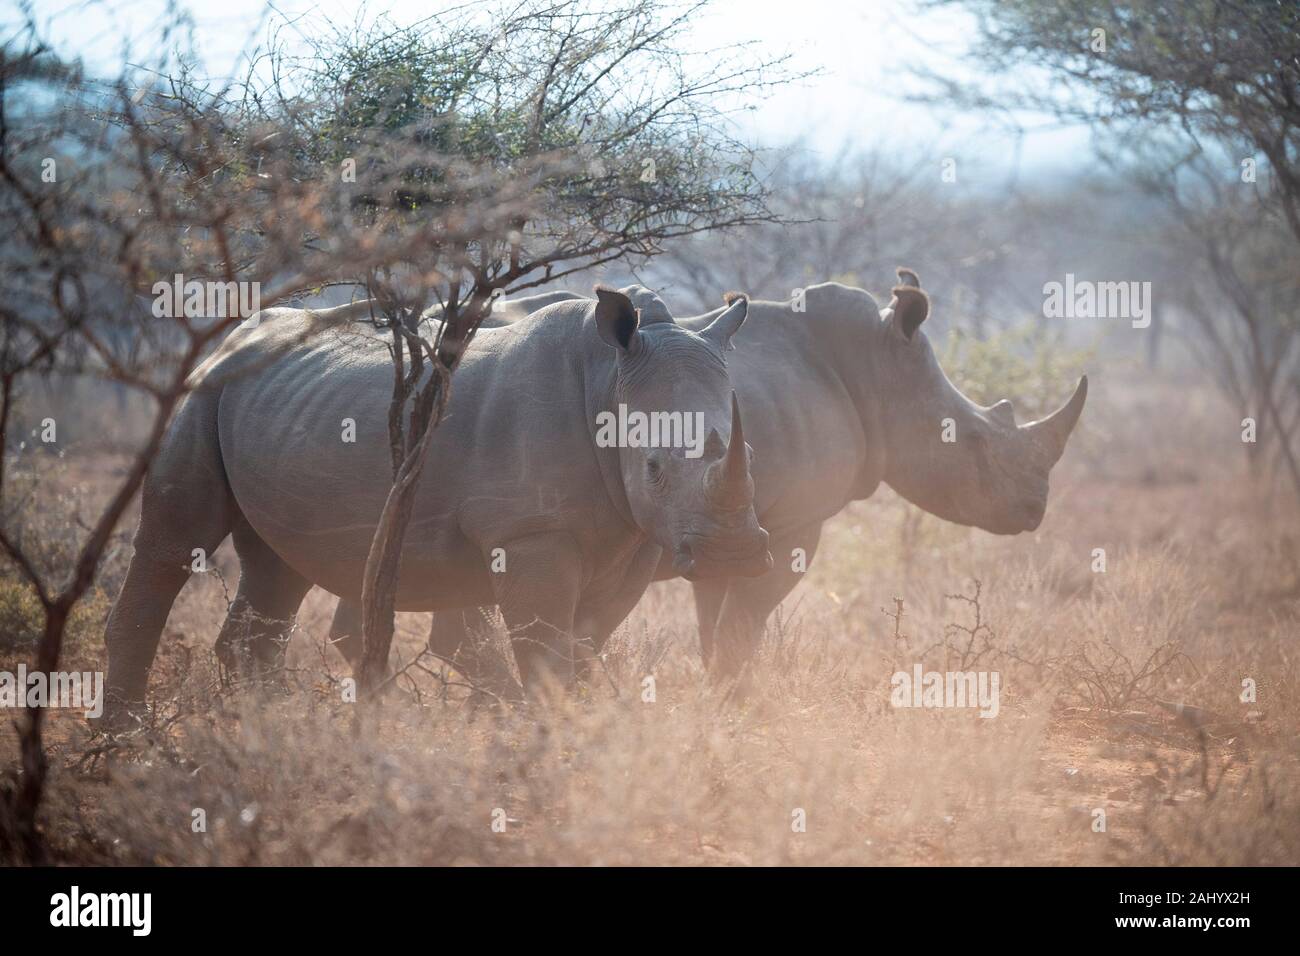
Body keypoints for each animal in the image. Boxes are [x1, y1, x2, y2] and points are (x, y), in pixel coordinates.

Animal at [102, 285, 771, 715]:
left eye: (750, 454)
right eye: (654, 469)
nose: (734, 555)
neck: (609, 380)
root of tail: (237, 333)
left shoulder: (633, 537)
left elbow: (583, 650)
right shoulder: (529, 532)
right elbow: (544, 657)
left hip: (279, 404)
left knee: (277, 567)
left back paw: (261, 737)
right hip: (204, 390)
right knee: (175, 542)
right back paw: (128, 738)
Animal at [372, 270, 1087, 676]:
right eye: (977, 446)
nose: (1034, 511)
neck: (880, 371)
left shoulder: (726, 523)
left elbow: (714, 623)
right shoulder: (791, 522)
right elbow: (742, 627)